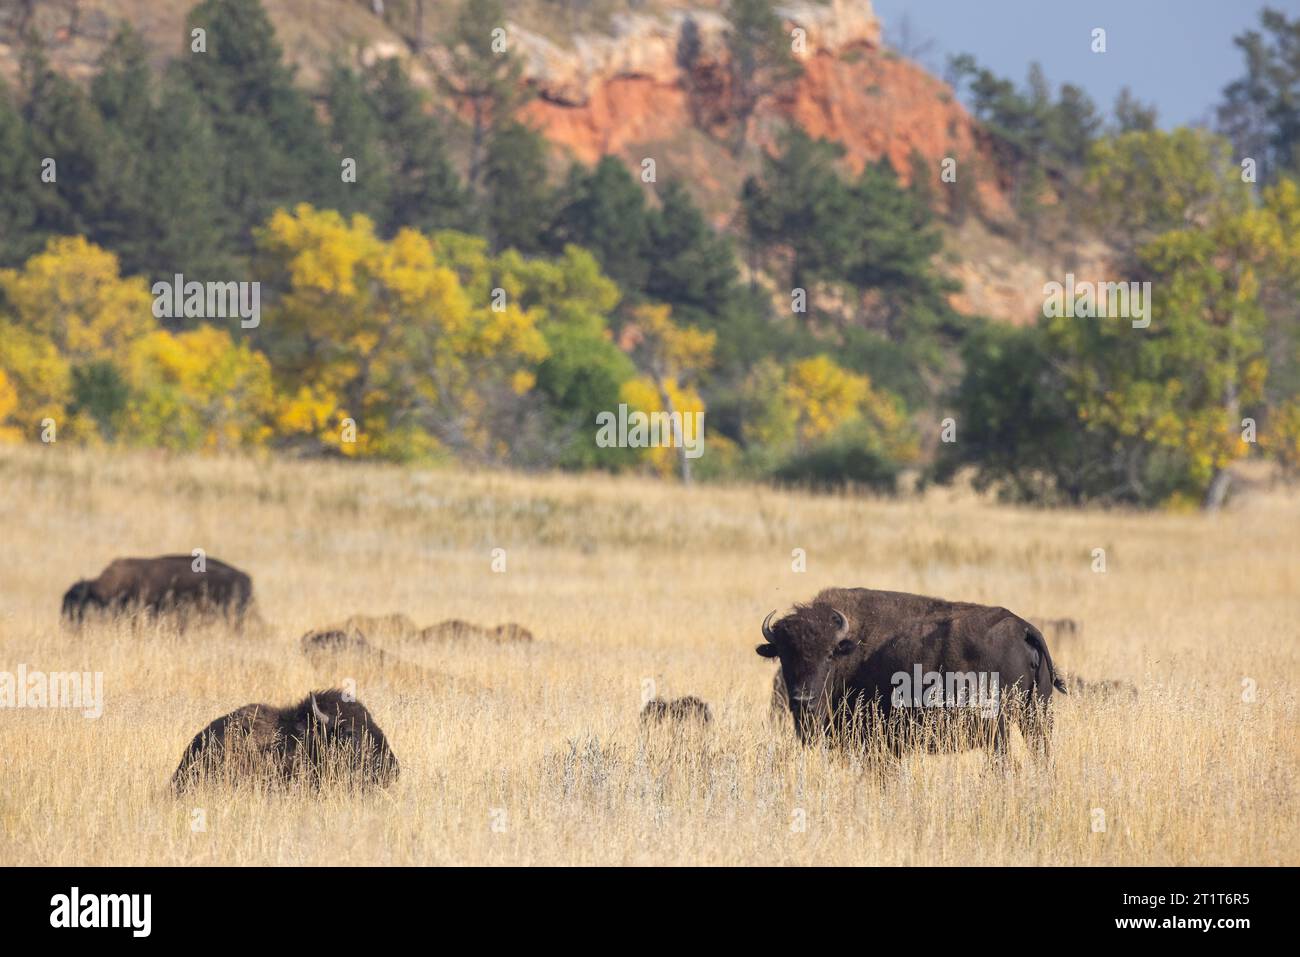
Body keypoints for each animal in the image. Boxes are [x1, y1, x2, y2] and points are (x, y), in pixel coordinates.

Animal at [757, 587, 1066, 758]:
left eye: (830, 654)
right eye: (784, 654)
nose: (803, 700)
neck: (853, 645)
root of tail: (1024, 628)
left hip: (999, 727)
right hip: (1036, 718)